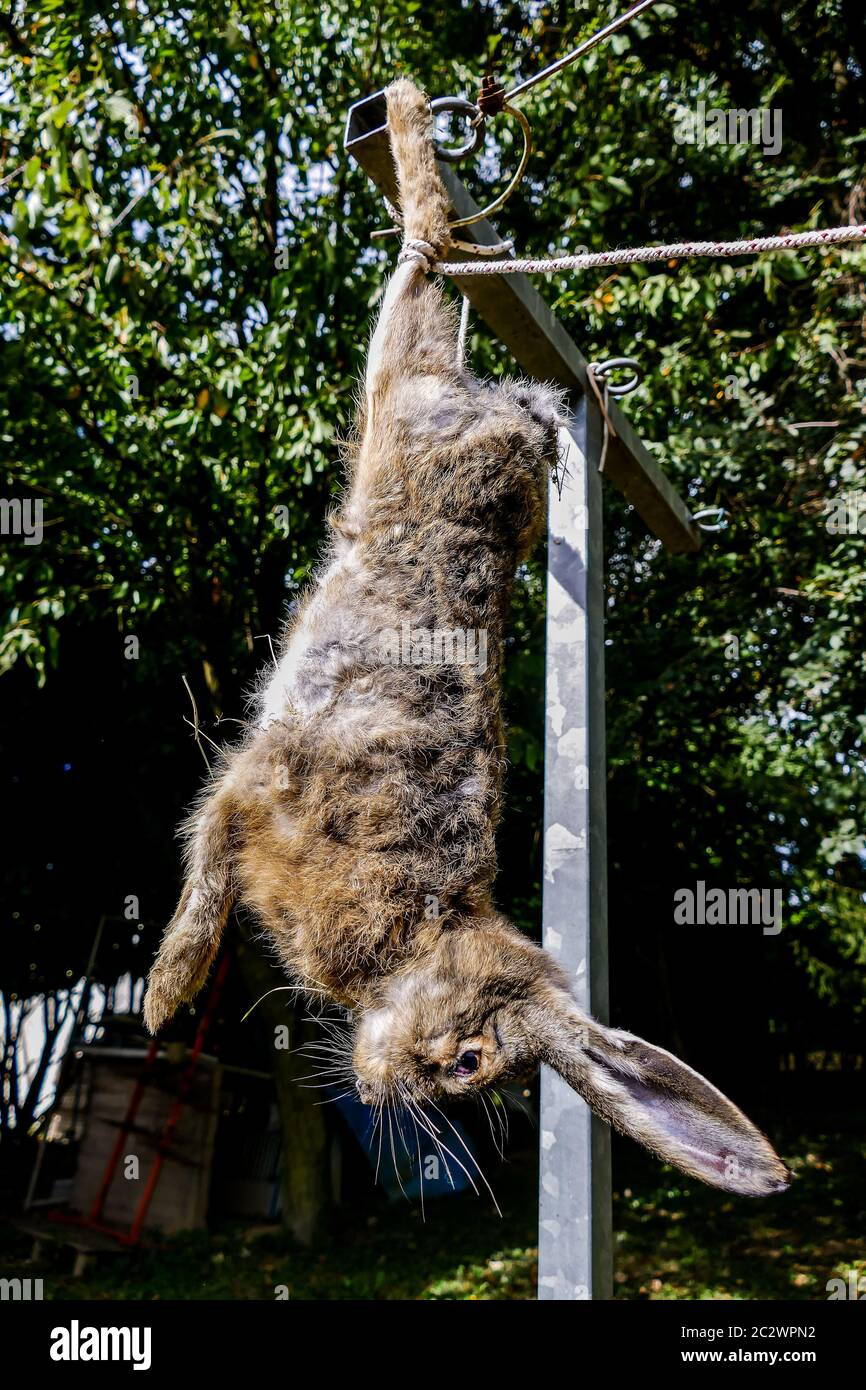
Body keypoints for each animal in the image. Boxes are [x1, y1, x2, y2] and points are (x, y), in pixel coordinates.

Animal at [144, 78, 790, 1199]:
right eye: (469, 1061)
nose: (386, 1090)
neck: (426, 933)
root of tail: (510, 413)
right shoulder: (255, 796)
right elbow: (202, 870)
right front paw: (161, 997)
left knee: (423, 283)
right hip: (405, 397)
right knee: (419, 265)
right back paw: (408, 124)